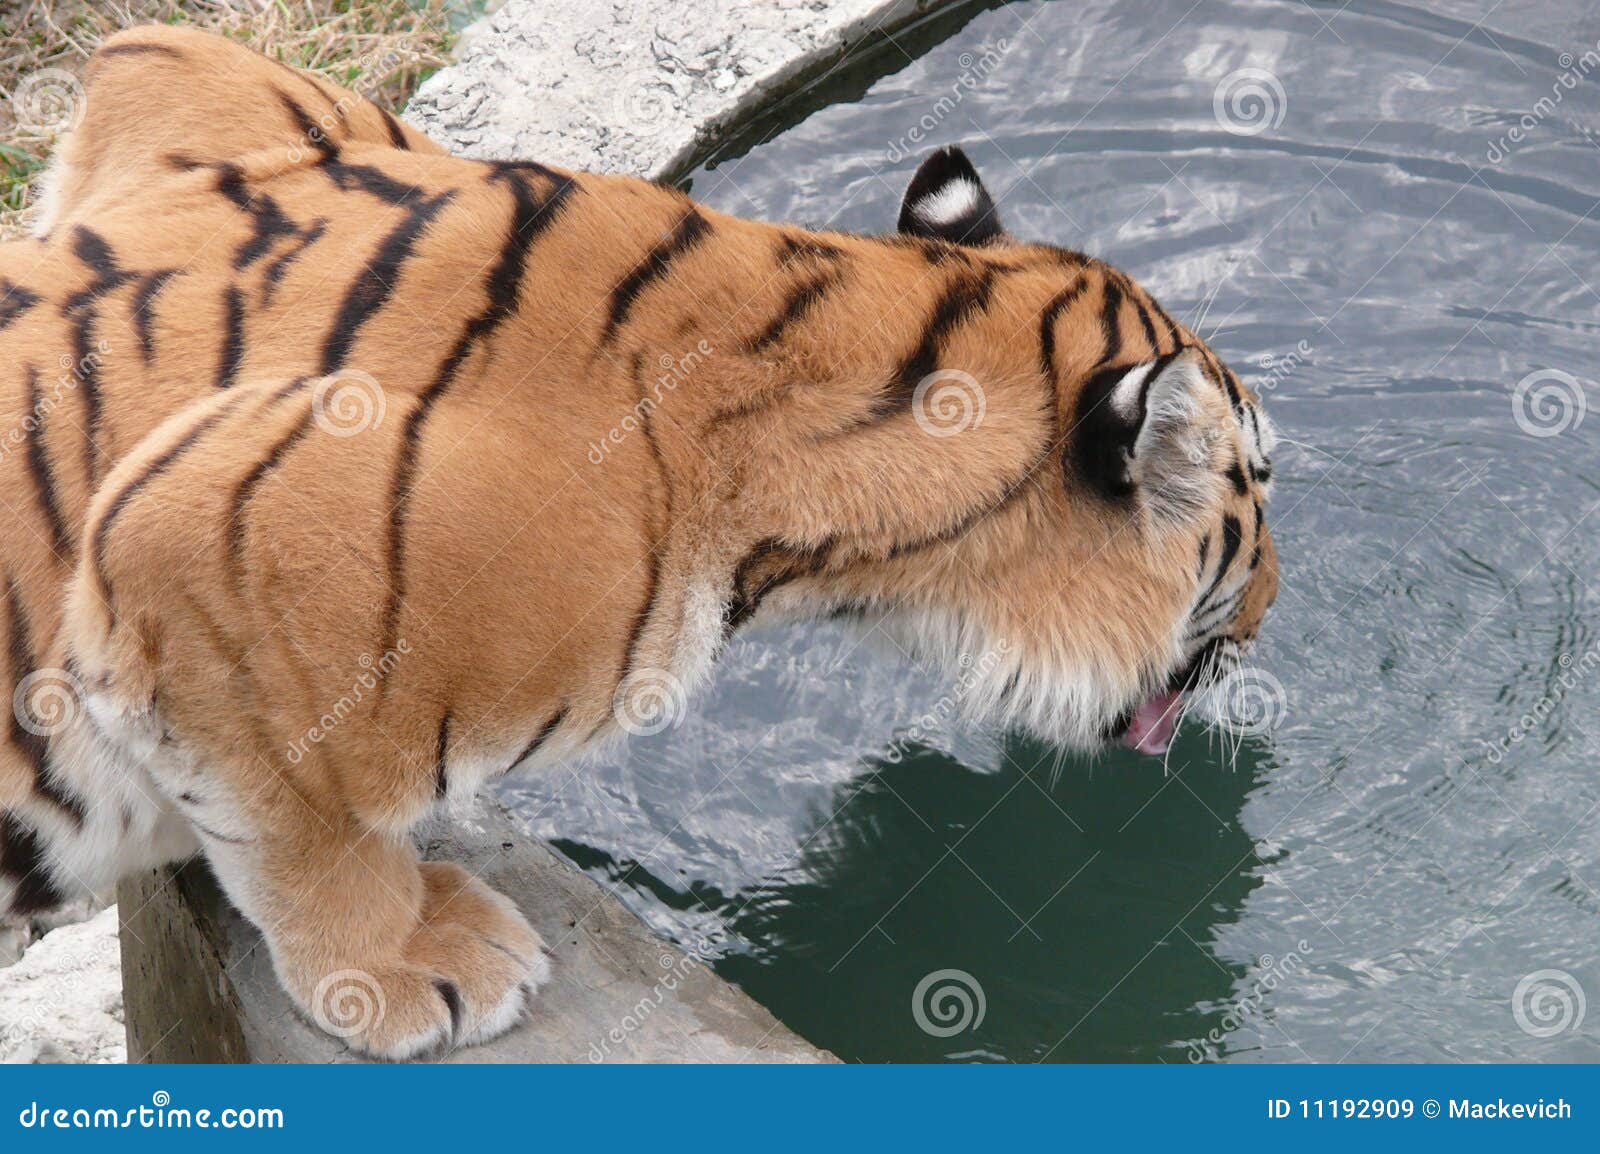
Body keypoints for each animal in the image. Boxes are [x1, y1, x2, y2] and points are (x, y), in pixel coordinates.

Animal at [0, 26, 1278, 1059]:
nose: (1272, 618)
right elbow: (304, 813)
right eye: (1256, 502)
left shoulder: (176, 74)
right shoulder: (202, 516)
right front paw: (406, 963)